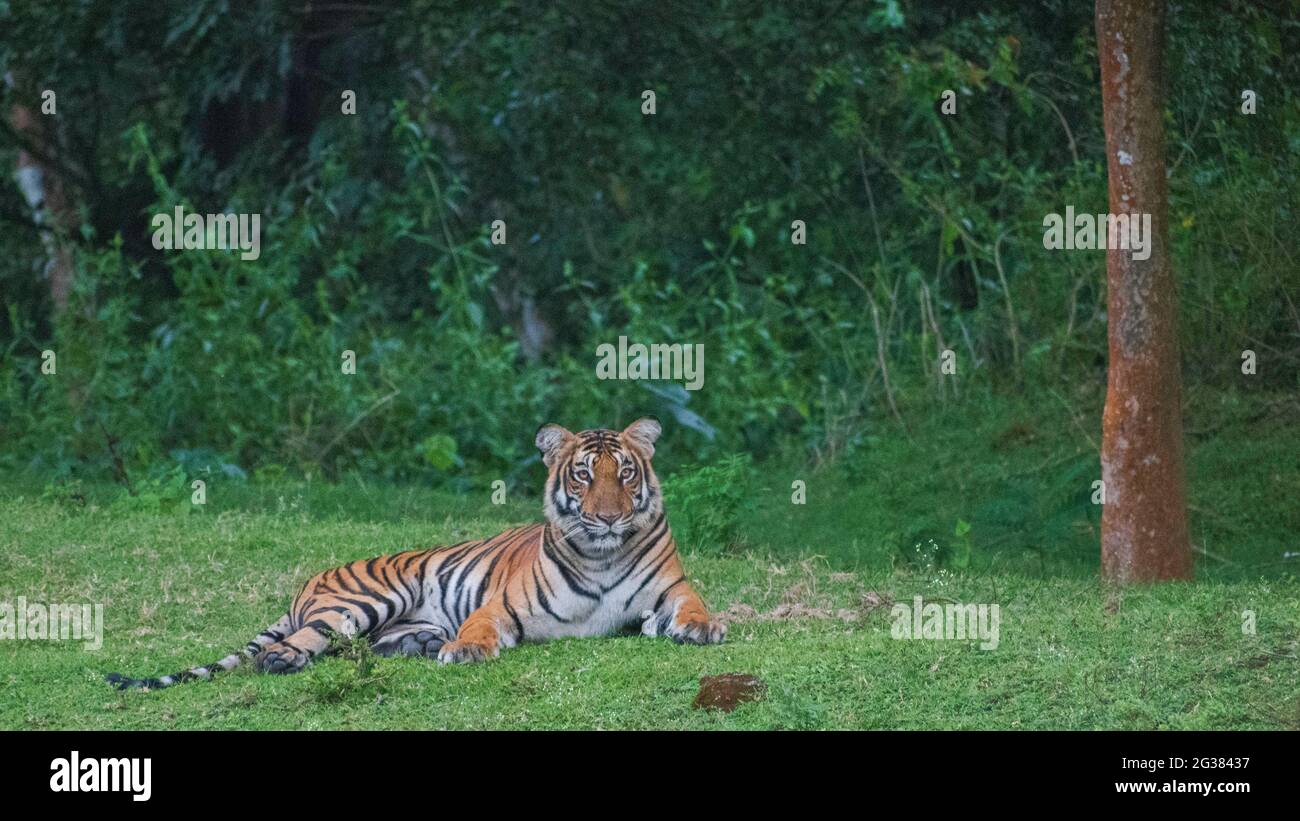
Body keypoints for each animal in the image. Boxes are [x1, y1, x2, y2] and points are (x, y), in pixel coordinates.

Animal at [106, 418, 726, 690]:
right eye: (583, 475)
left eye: (625, 474)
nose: (609, 517)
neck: (601, 554)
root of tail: (308, 583)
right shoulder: (503, 604)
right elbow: (480, 626)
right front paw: (466, 650)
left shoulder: (672, 587)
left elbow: (692, 605)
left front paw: (702, 628)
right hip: (364, 599)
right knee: (308, 640)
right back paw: (285, 659)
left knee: (361, 647)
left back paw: (422, 645)